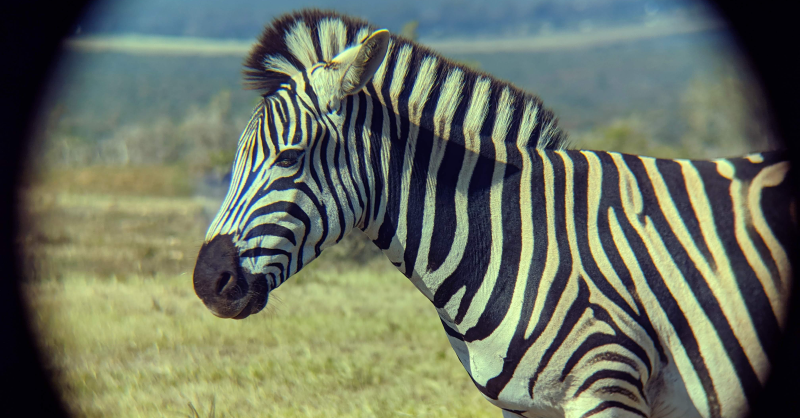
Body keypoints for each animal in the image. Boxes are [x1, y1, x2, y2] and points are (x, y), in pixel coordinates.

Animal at [192, 9, 795, 418]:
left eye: (289, 158)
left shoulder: (609, 386)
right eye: (232, 162)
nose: (205, 283)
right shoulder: (526, 407)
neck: (511, 235)